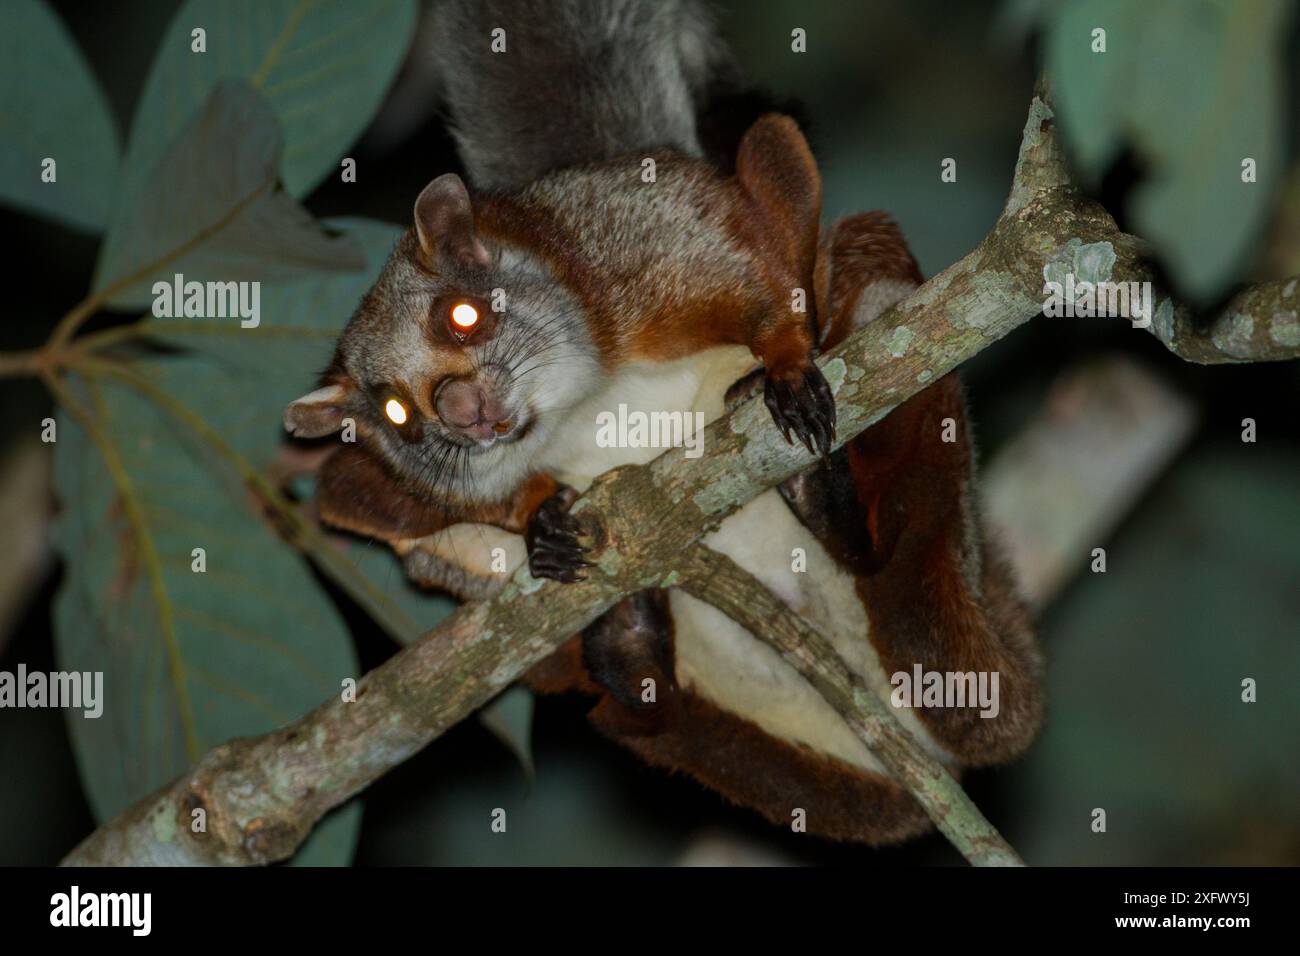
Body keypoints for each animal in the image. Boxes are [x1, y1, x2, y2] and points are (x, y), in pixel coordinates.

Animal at [284, 0, 1044, 844]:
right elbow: (349, 495)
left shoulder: (632, 244)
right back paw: (631, 656)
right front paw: (535, 512)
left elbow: (754, 267)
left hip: (940, 536)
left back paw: (839, 517)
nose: (459, 412)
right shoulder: (377, 484)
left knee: (821, 213)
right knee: (629, 705)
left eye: (463, 316)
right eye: (396, 411)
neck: (578, 408)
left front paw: (784, 362)